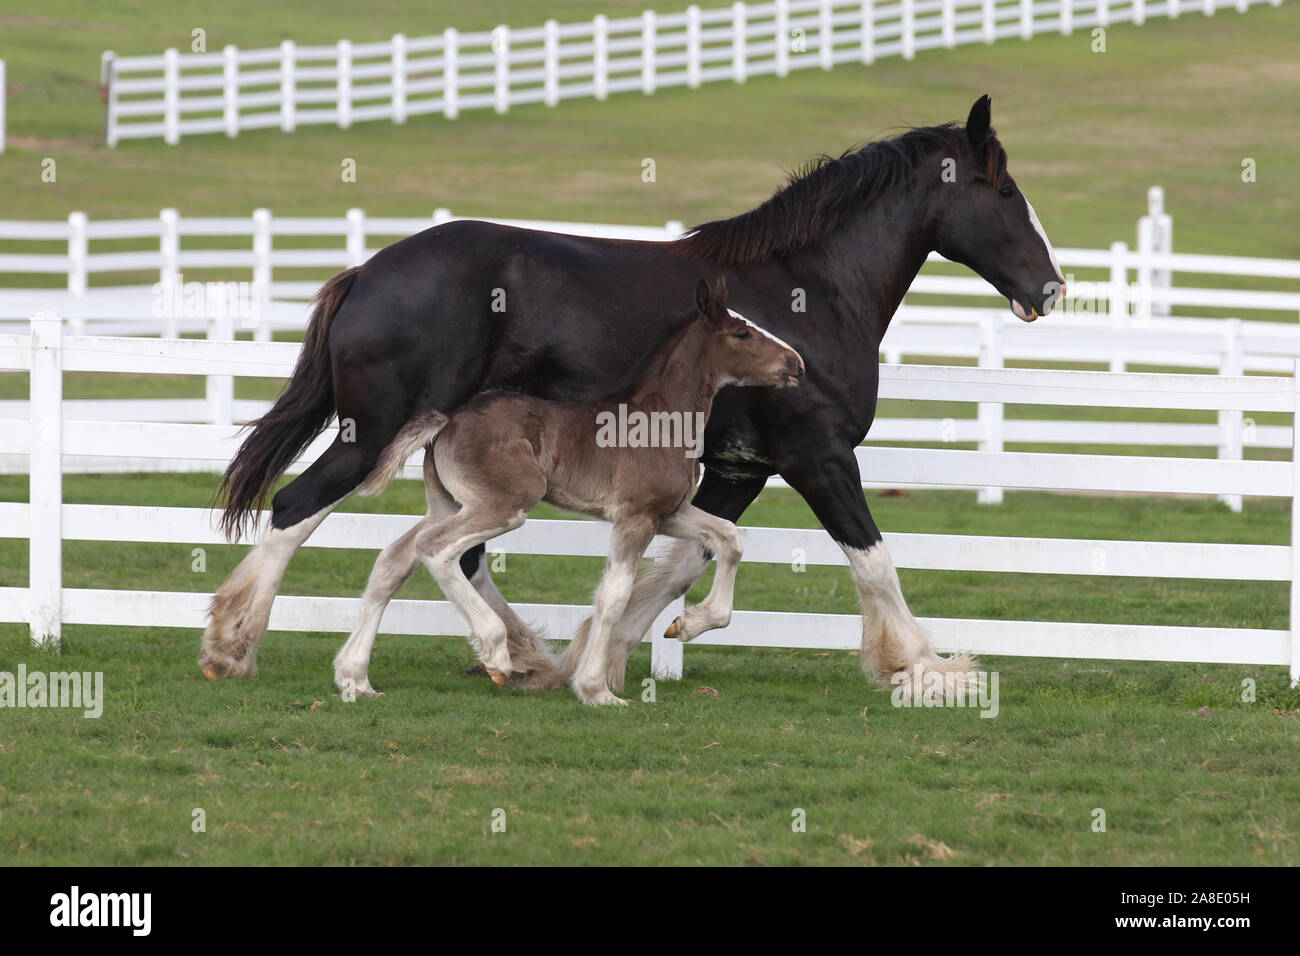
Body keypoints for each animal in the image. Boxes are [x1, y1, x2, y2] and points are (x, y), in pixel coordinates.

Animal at [336, 278, 803, 704]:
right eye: (742, 333)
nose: (797, 363)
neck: (659, 421)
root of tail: (447, 420)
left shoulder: (669, 512)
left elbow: (729, 538)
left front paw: (686, 624)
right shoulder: (636, 516)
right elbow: (614, 596)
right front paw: (597, 690)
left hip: (448, 503)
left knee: (395, 559)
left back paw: (355, 678)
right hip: (506, 503)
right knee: (435, 548)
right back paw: (497, 655)